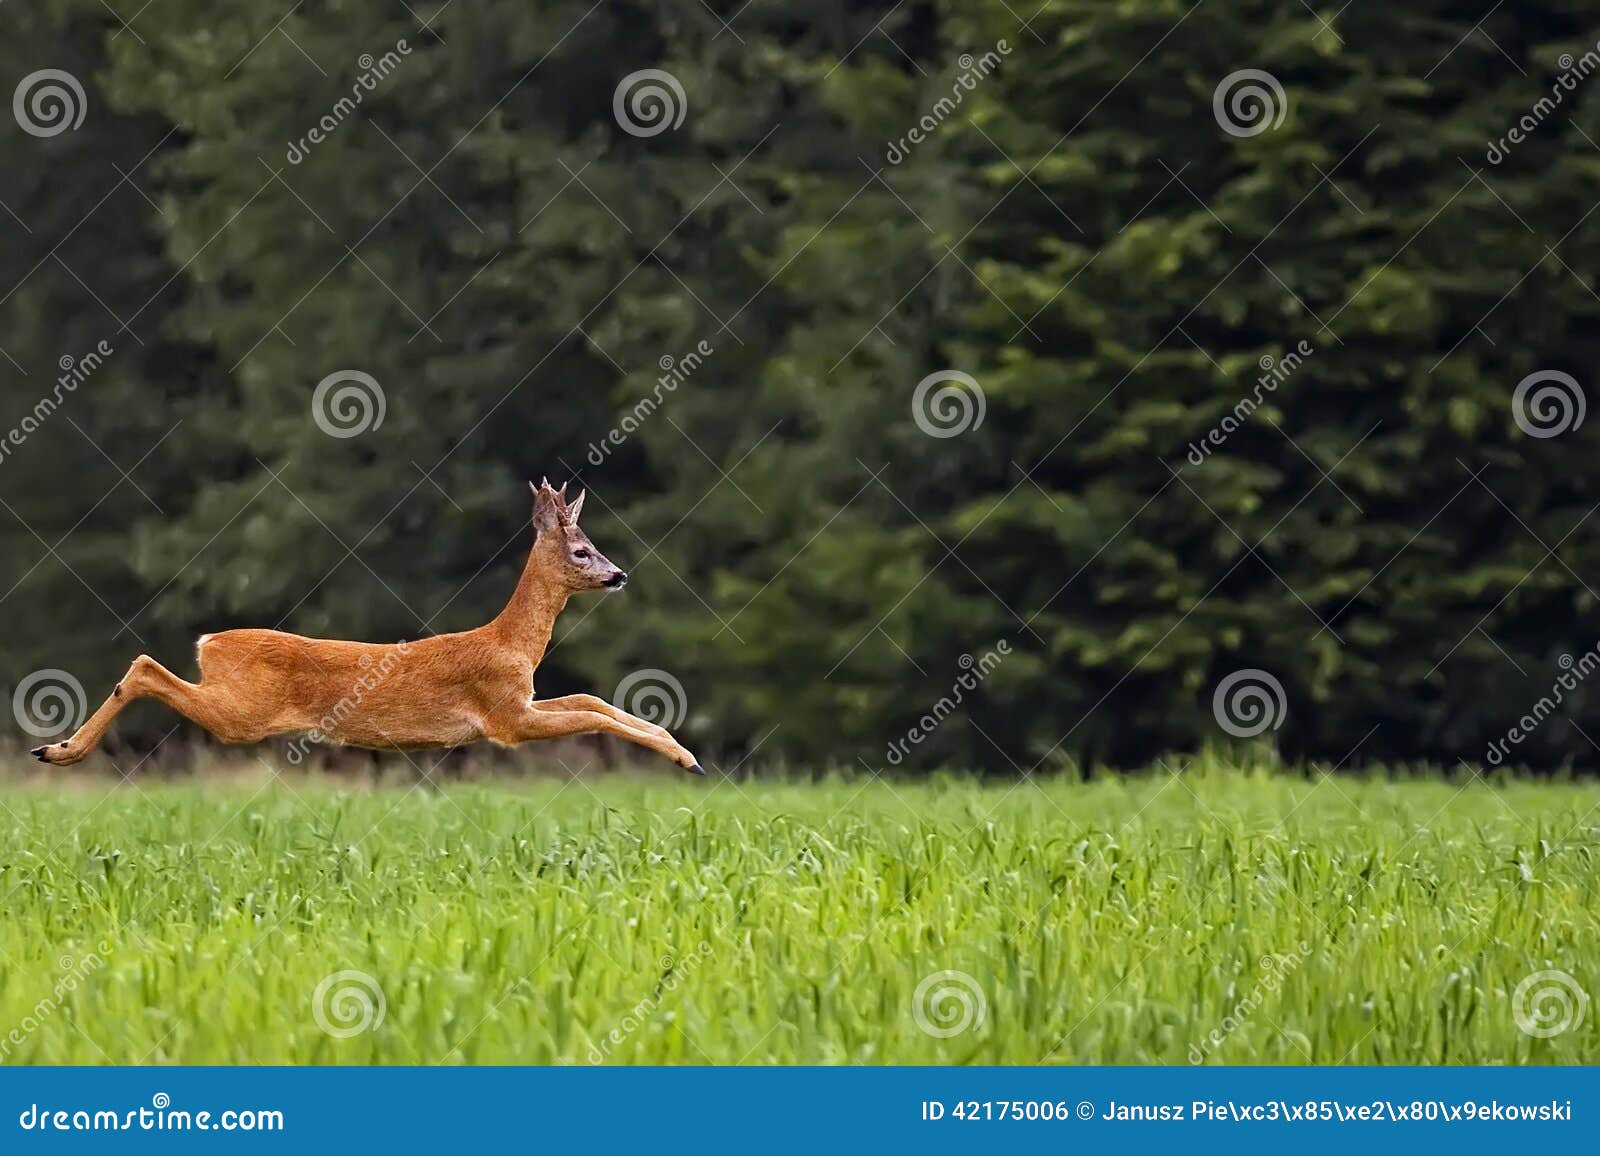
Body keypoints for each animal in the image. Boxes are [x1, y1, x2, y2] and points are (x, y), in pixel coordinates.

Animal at [29, 480, 703, 775]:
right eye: (582, 551)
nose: (619, 574)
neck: (511, 645)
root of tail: (210, 641)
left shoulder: (520, 702)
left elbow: (592, 699)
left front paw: (680, 749)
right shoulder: (504, 718)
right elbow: (592, 715)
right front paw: (684, 757)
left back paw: (57, 747)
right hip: (242, 711)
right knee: (147, 667)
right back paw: (59, 750)